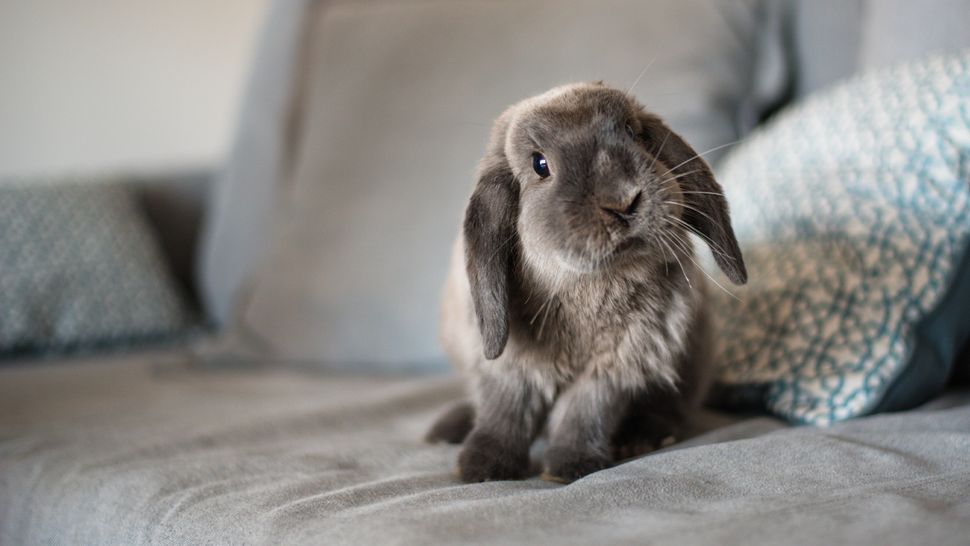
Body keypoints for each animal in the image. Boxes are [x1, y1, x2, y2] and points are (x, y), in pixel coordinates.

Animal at [426, 82, 747, 483]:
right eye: (540, 164)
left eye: (633, 132)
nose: (623, 201)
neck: (589, 285)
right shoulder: (510, 366)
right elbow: (505, 411)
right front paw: (481, 468)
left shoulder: (615, 367)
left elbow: (584, 412)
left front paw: (571, 467)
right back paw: (447, 429)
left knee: (671, 409)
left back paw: (643, 437)